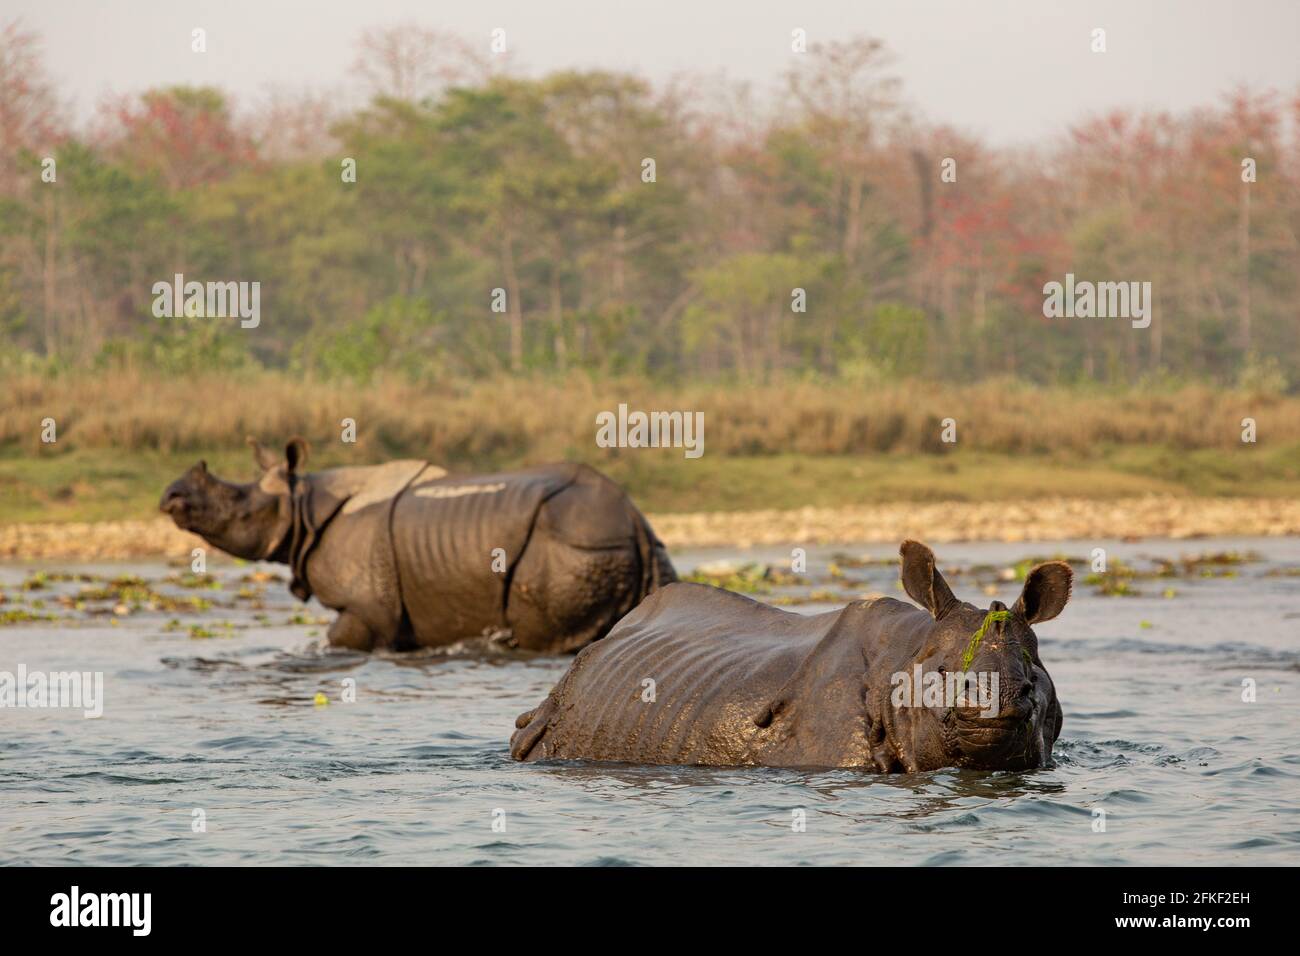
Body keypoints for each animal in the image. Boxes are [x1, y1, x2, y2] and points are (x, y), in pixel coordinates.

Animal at [160, 438, 676, 653]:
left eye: (241, 505)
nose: (171, 496)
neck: (304, 501)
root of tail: (632, 517)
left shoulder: (368, 607)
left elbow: (341, 639)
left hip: (573, 547)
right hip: (630, 545)